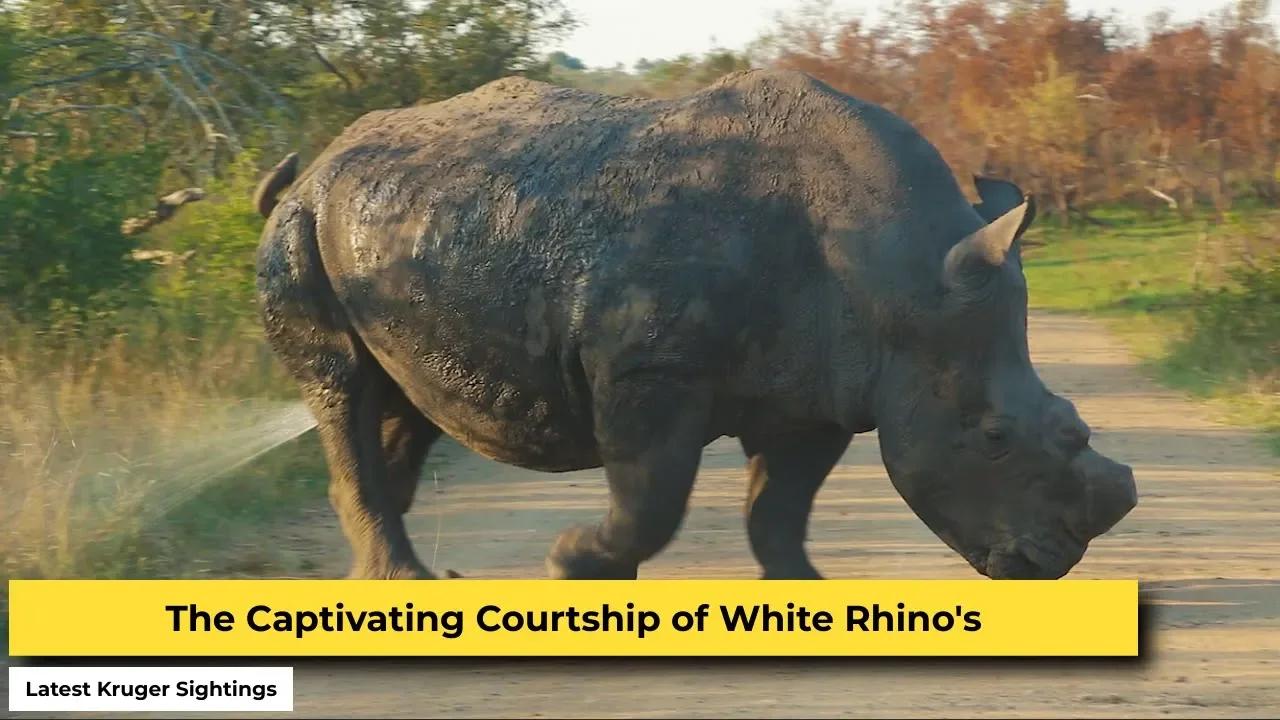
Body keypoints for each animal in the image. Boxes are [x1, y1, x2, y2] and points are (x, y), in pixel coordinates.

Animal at [253, 69, 1137, 581]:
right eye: (992, 438)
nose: (1054, 561)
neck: (897, 277)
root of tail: (318, 163)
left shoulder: (819, 387)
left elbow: (779, 510)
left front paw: (805, 600)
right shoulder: (648, 369)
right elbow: (652, 502)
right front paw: (574, 567)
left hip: (395, 226)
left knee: (399, 407)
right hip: (302, 228)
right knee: (342, 389)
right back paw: (401, 587)